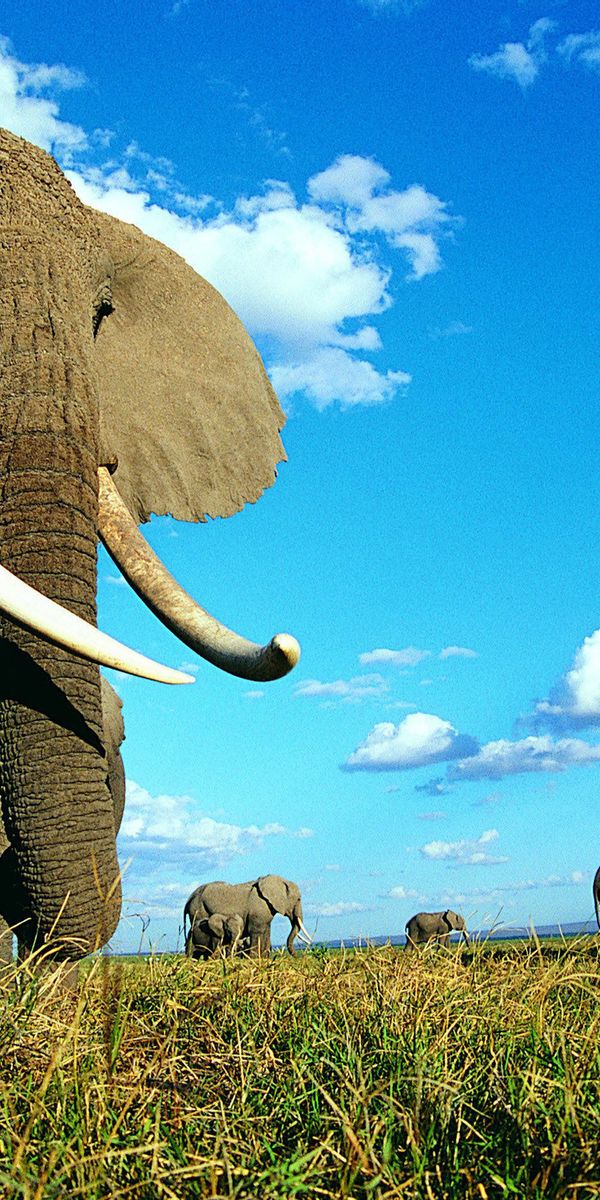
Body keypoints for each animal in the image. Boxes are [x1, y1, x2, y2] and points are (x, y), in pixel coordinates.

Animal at [184, 874, 312, 958]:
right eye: (299, 899)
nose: (300, 957)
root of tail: (190, 898)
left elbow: (267, 932)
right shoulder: (258, 908)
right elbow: (257, 932)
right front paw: (255, 960)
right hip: (198, 909)